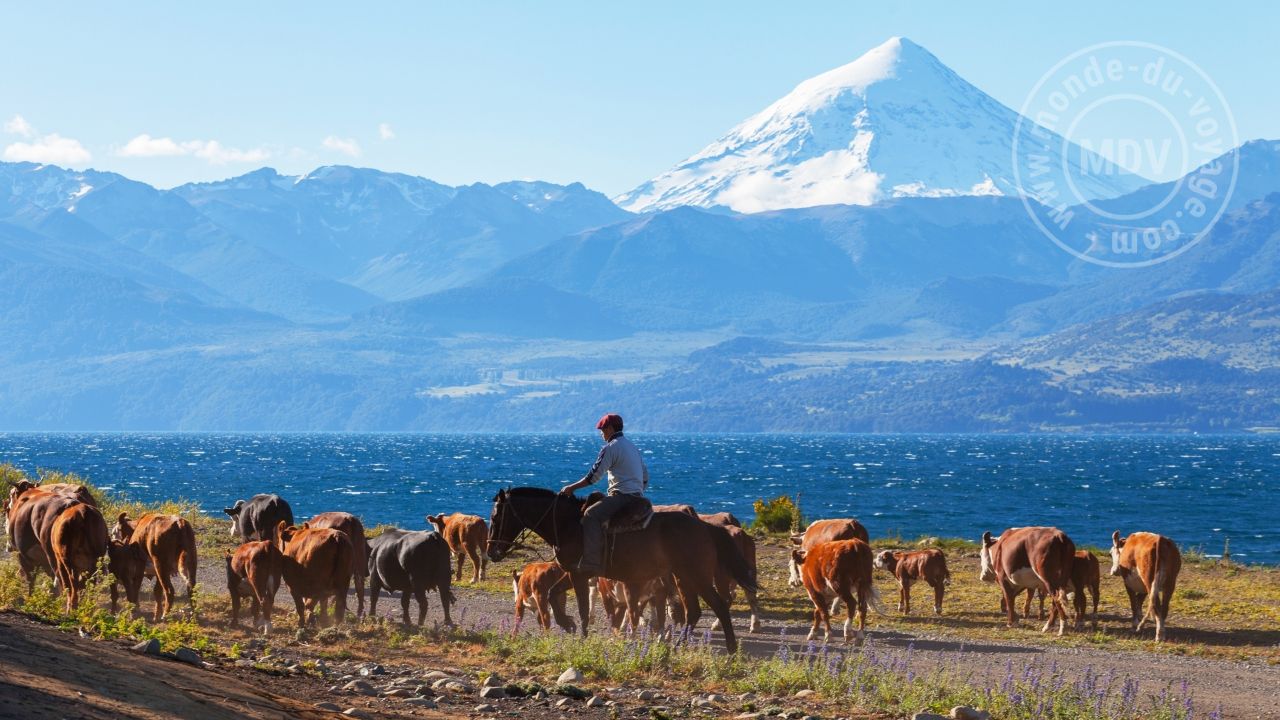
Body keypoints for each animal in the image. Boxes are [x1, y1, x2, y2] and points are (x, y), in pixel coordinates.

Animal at [483, 486, 752, 650]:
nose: (492, 551)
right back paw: (678, 648)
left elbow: (583, 609)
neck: (568, 524)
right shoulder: (574, 573)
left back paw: (730, 649)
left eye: (496, 517)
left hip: (696, 576)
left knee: (717, 606)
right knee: (693, 611)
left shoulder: (580, 574)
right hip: (682, 577)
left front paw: (581, 638)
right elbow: (552, 595)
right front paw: (567, 624)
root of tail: (705, 527)